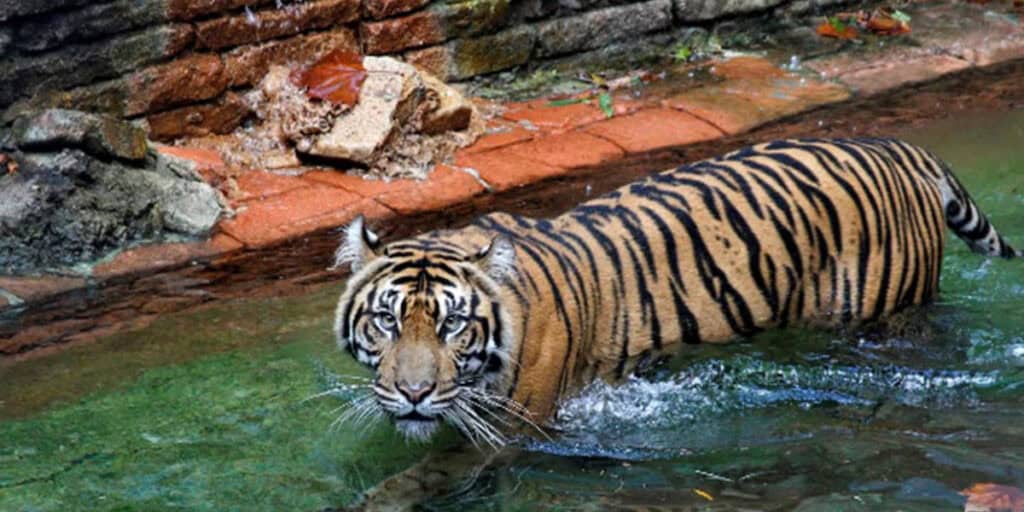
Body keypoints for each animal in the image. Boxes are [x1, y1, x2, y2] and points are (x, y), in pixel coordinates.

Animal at [333, 137, 1020, 446]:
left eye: (453, 325)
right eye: (387, 321)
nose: (414, 393)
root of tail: (899, 147)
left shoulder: (519, 429)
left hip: (887, 317)